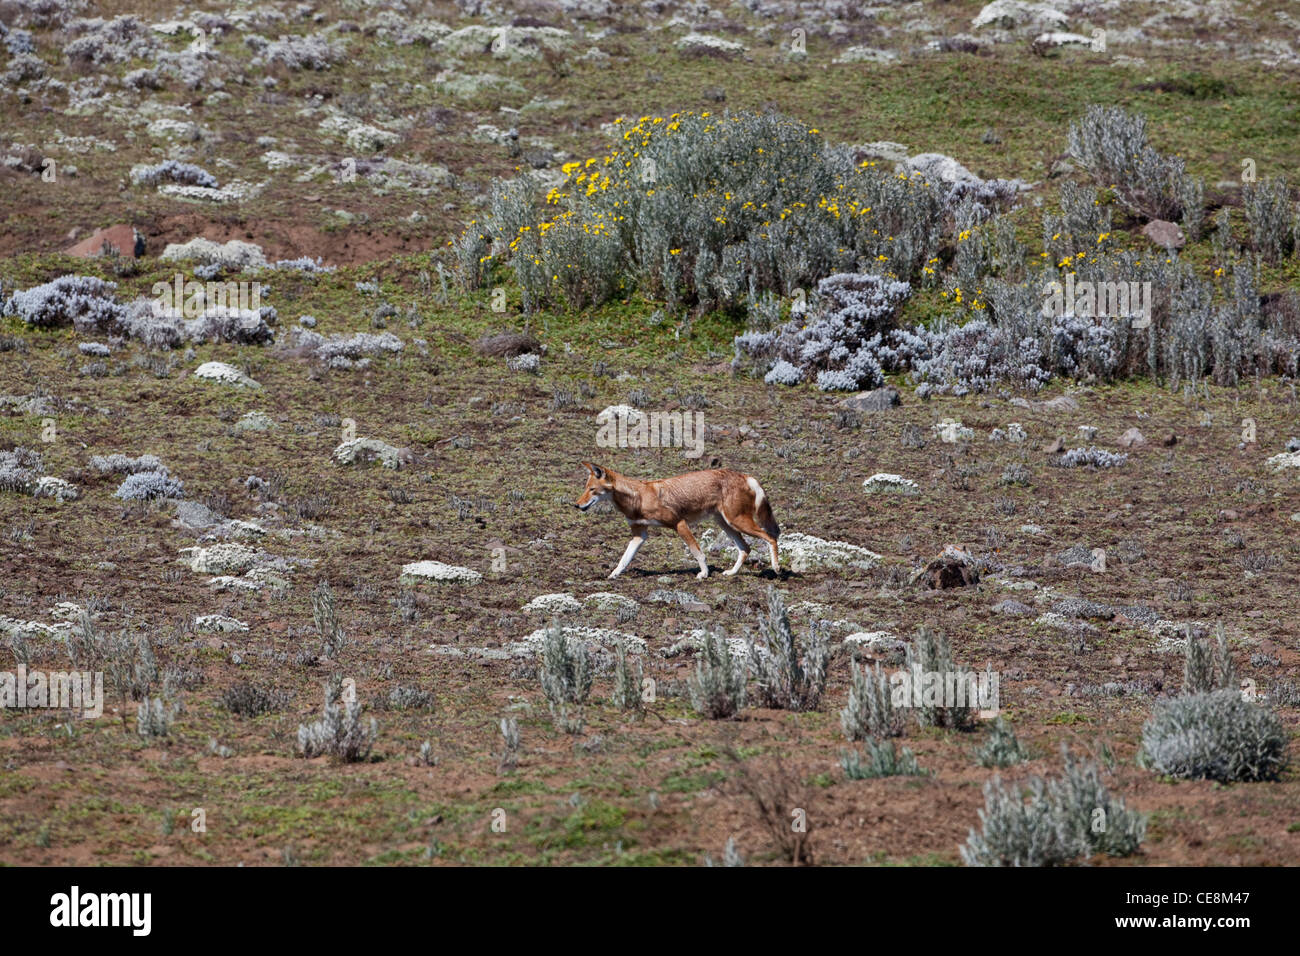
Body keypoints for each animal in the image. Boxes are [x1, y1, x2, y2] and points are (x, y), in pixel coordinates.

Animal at [575, 462, 780, 580]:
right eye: (585, 488)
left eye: (592, 490)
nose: (576, 505)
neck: (638, 498)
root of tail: (745, 475)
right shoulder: (639, 535)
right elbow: (624, 559)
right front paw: (613, 575)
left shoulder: (679, 523)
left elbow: (697, 552)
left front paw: (704, 573)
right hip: (726, 524)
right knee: (746, 548)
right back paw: (731, 573)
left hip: (737, 522)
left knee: (771, 537)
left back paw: (777, 568)